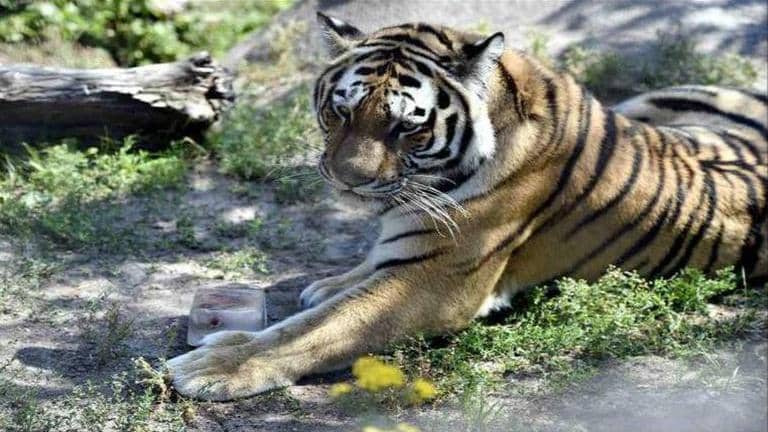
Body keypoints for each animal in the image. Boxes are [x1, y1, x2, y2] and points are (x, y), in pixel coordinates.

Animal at [168, 13, 768, 401]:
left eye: (406, 126)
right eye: (341, 111)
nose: (348, 180)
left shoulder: (434, 284)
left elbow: (317, 329)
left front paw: (217, 364)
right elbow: (351, 283)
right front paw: (332, 282)